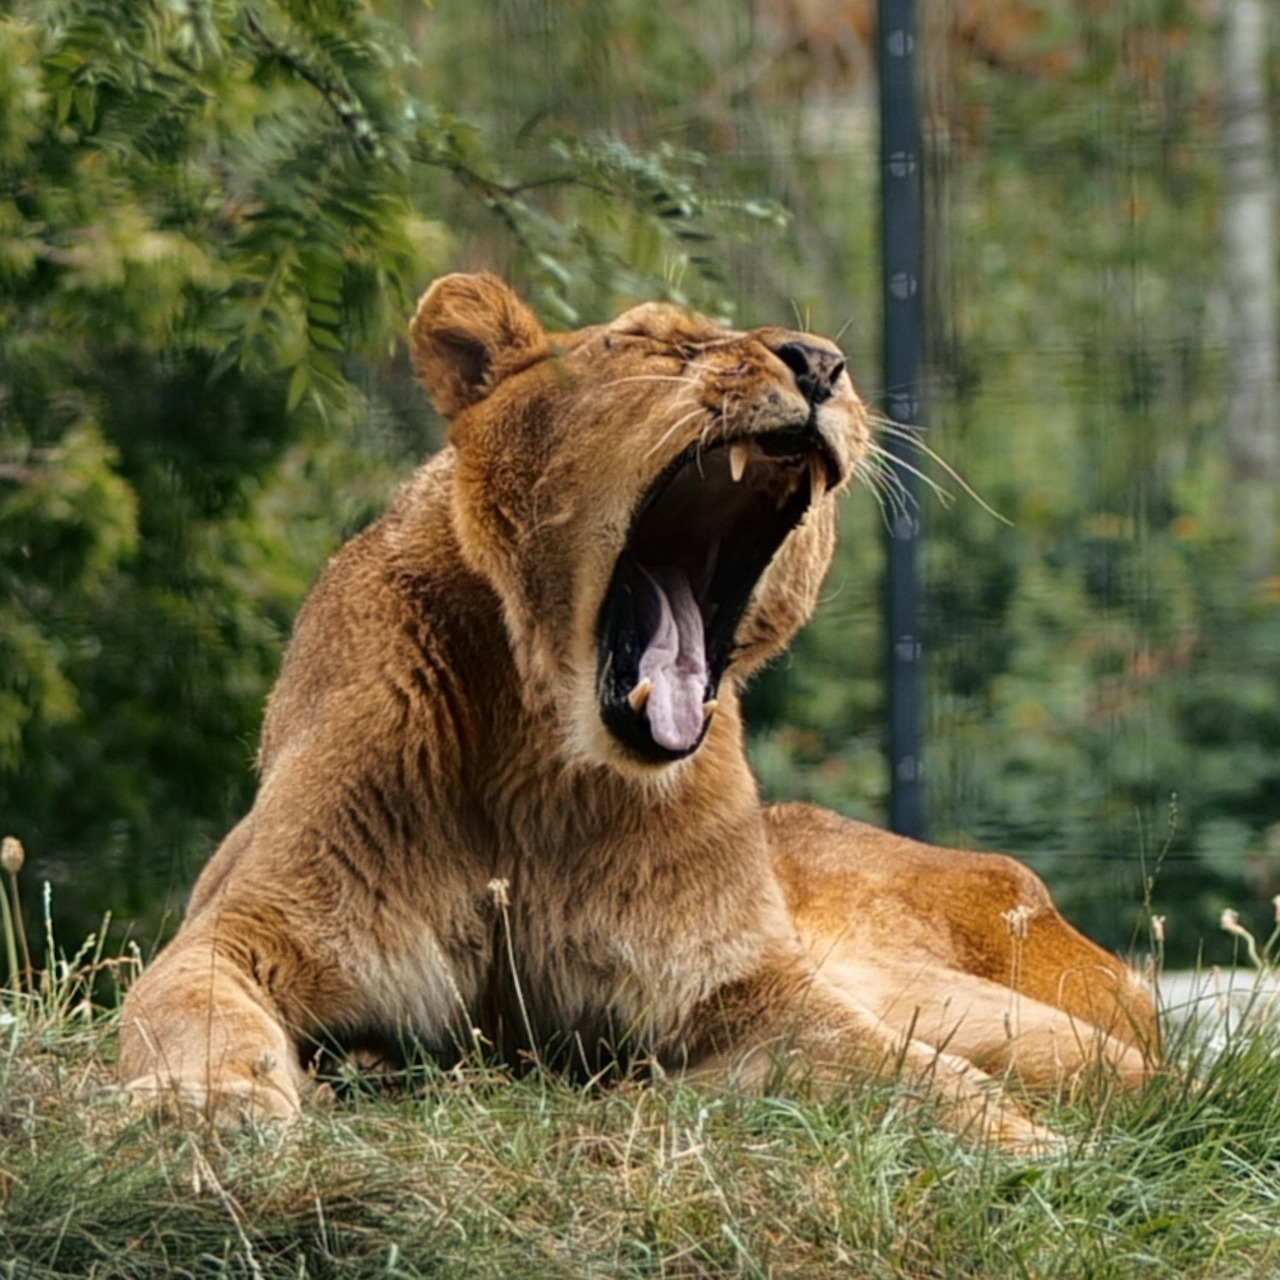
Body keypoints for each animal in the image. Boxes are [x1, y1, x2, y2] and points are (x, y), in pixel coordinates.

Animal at [119, 273, 1157, 1149]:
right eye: (662, 342)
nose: (822, 364)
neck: (547, 769)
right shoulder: (246, 926)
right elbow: (187, 1006)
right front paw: (209, 1103)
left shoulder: (747, 984)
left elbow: (896, 1066)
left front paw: (1018, 1146)